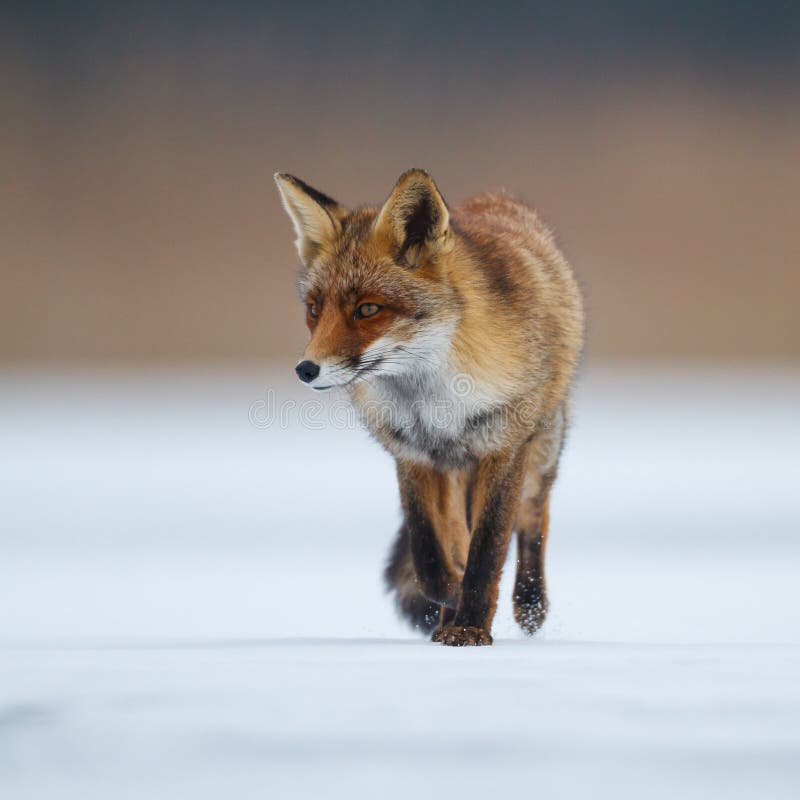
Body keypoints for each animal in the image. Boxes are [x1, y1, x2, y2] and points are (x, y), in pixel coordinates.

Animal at [275, 169, 584, 646]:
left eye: (368, 309)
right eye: (314, 310)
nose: (306, 369)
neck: (436, 408)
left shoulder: (503, 449)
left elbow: (487, 551)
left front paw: (471, 626)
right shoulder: (415, 457)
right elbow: (430, 557)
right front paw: (452, 600)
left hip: (541, 448)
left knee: (535, 515)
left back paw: (530, 604)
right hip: (457, 474)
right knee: (455, 535)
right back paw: (446, 619)